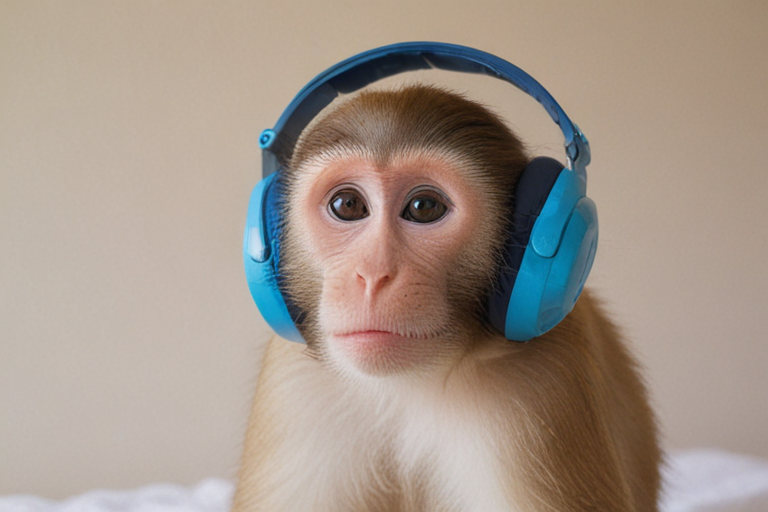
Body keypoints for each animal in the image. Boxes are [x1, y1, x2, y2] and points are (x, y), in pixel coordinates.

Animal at [233, 85, 661, 512]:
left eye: (425, 207)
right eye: (348, 205)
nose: (373, 275)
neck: (410, 386)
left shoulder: (543, 385)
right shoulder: (292, 382)